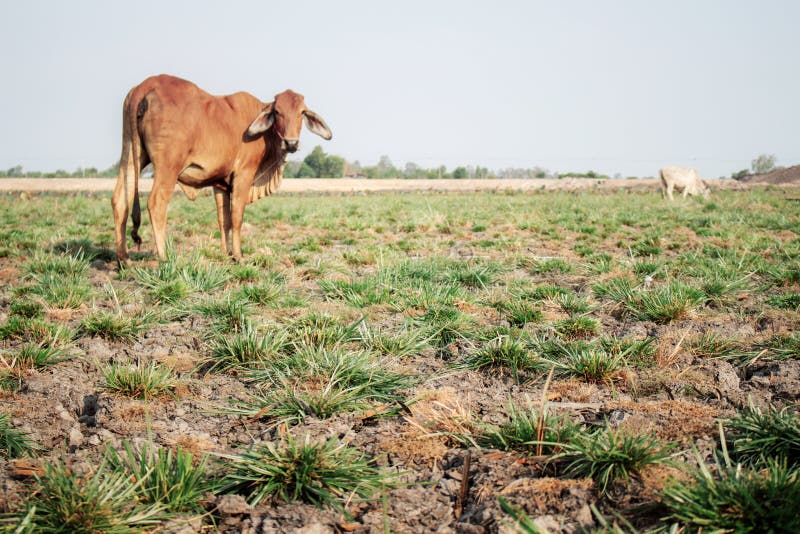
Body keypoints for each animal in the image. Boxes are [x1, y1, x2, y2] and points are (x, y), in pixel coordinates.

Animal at [112, 74, 332, 265]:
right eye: (277, 112)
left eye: (302, 112)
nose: (291, 143)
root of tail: (147, 84)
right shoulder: (243, 175)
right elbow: (236, 217)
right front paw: (239, 256)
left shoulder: (221, 183)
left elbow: (223, 220)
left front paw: (226, 255)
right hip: (168, 166)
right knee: (156, 204)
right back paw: (164, 258)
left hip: (131, 155)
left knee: (120, 199)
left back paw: (124, 259)